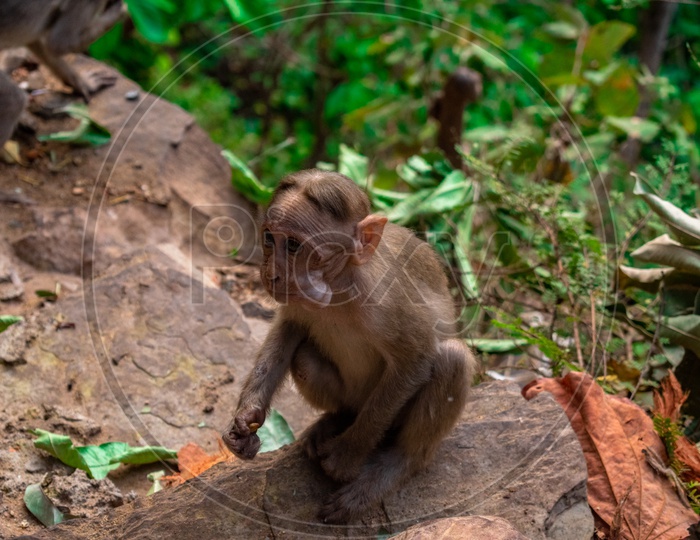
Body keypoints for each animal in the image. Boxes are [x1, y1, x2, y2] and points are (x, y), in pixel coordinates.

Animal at [0, 0, 127, 148]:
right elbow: (59, 43)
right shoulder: (87, 2)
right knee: (13, 101)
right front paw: (121, 12)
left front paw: (85, 83)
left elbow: (40, 42)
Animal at [222, 169, 475, 524]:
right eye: (269, 238)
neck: (340, 286)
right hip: (350, 397)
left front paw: (347, 455)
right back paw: (334, 420)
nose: (272, 275)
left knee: (452, 358)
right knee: (304, 359)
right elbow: (290, 330)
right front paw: (247, 417)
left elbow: (415, 360)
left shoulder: (387, 300)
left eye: (295, 245)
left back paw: (395, 464)